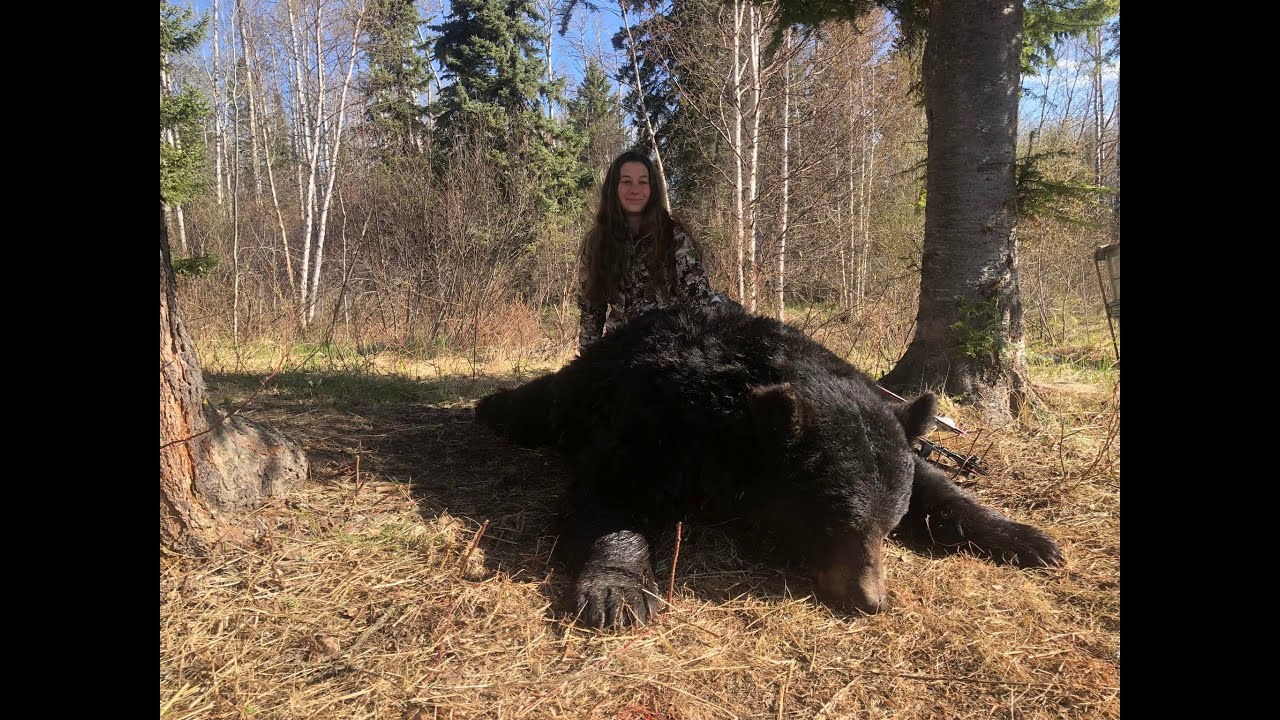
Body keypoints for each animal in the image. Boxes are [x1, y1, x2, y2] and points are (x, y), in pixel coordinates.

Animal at [476, 305, 1061, 629]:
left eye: (889, 529)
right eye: (836, 523)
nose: (871, 601)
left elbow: (933, 485)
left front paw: (1027, 537)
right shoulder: (656, 424)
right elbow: (610, 491)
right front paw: (616, 591)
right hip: (573, 394)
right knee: (536, 405)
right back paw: (490, 406)